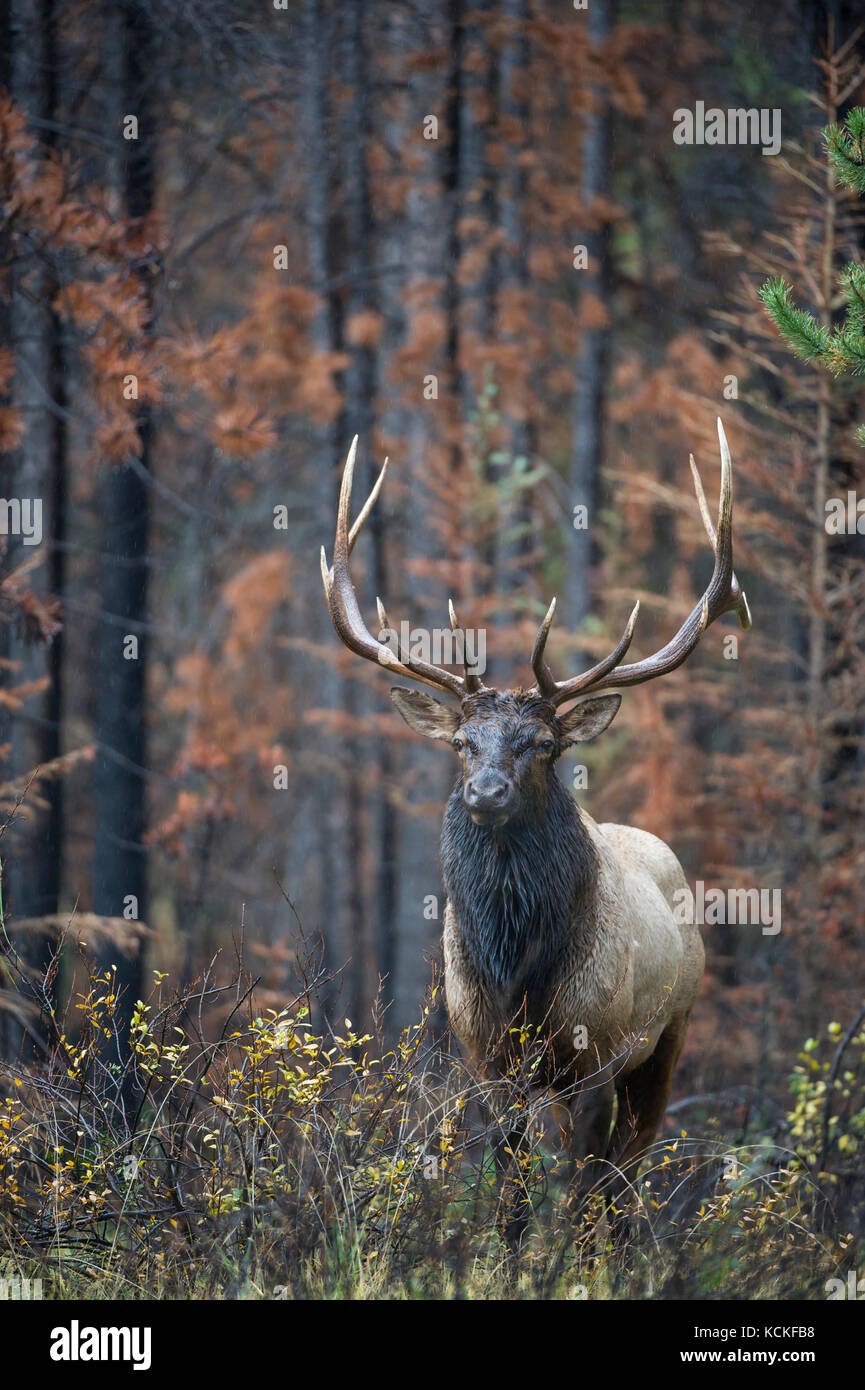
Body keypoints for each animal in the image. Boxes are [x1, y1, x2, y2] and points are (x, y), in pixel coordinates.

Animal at [320, 418, 751, 1242]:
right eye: (462, 743)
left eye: (543, 744)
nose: (486, 791)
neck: (519, 969)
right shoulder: (486, 1059)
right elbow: (513, 1196)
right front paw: (516, 1254)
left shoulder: (599, 1051)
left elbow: (582, 1189)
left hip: (669, 1034)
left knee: (624, 1175)